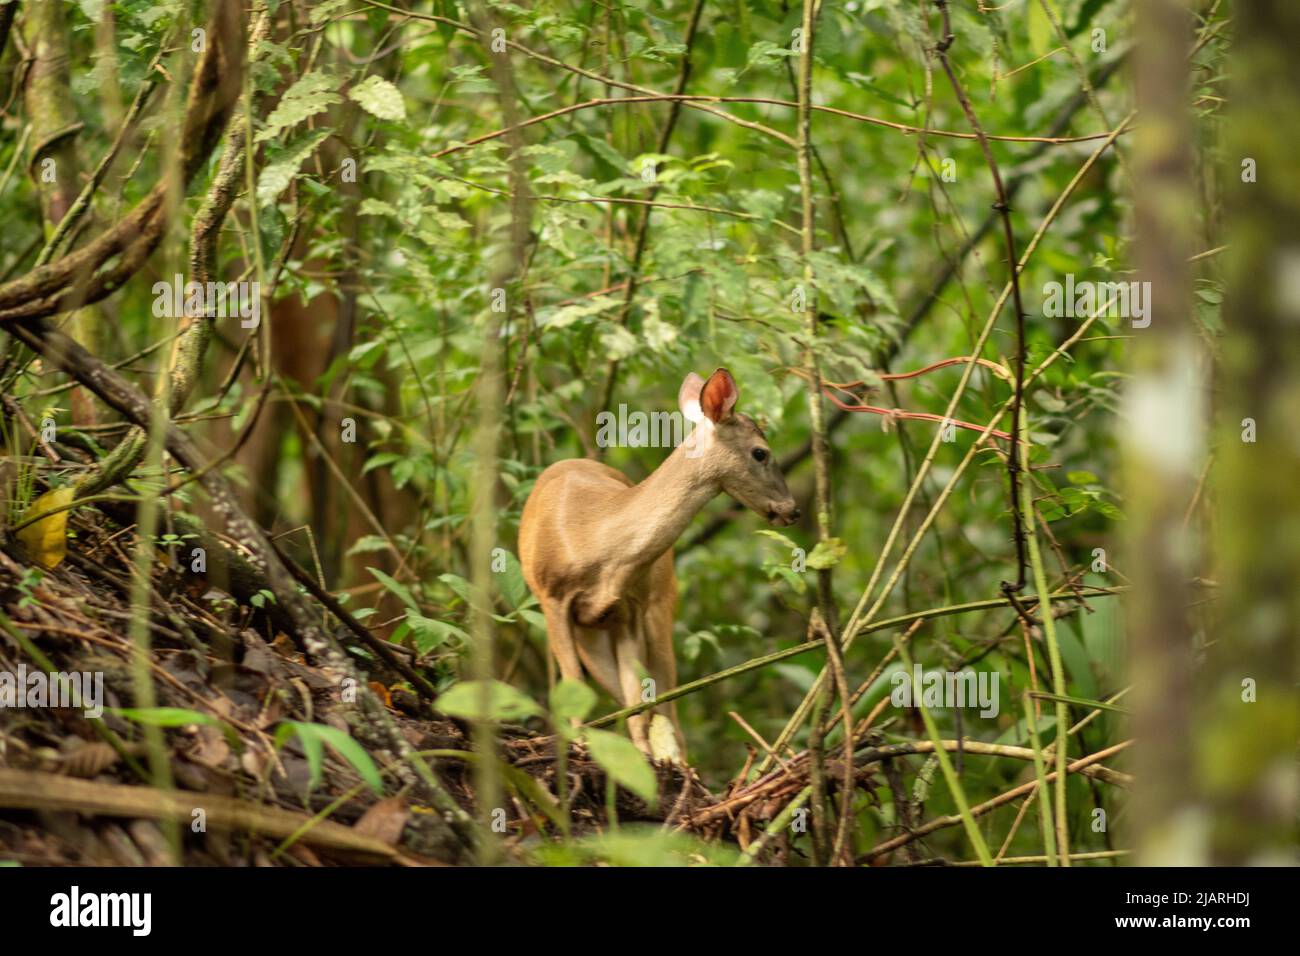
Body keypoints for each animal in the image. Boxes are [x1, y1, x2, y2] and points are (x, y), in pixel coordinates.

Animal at [518, 368, 800, 763]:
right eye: (760, 452)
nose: (793, 510)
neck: (596, 543)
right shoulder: (553, 596)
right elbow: (578, 685)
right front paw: (582, 747)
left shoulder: (628, 611)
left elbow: (638, 702)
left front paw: (641, 759)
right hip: (593, 631)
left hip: (658, 600)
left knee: (664, 704)